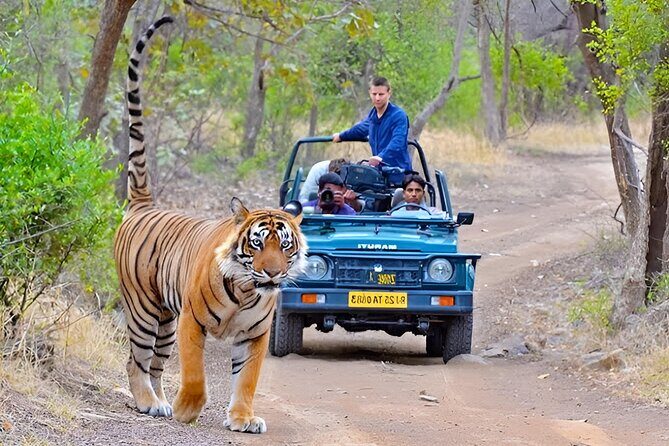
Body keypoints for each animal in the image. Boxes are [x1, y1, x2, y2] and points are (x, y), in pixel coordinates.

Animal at [114, 16, 306, 434]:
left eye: (284, 246)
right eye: (257, 243)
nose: (272, 274)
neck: (248, 290)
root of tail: (143, 205)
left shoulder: (254, 335)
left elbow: (247, 380)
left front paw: (243, 418)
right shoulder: (192, 322)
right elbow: (195, 374)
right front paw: (189, 410)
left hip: (165, 321)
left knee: (155, 365)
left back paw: (159, 403)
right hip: (144, 310)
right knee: (135, 360)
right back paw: (149, 402)